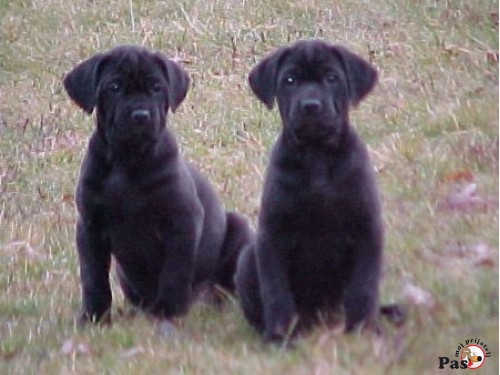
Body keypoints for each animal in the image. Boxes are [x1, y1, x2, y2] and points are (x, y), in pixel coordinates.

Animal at [65, 45, 254, 324]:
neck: (128, 159)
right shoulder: (90, 227)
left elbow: (174, 272)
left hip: (237, 231)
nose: (141, 116)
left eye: (156, 87)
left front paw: (168, 311)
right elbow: (93, 276)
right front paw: (93, 316)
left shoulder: (181, 222)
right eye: (114, 87)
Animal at [234, 39, 382, 342]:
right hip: (247, 260)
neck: (317, 157)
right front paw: (280, 338)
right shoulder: (273, 236)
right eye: (289, 80)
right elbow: (276, 293)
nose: (311, 106)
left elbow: (363, 287)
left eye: (331, 78)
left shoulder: (367, 229)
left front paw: (361, 333)